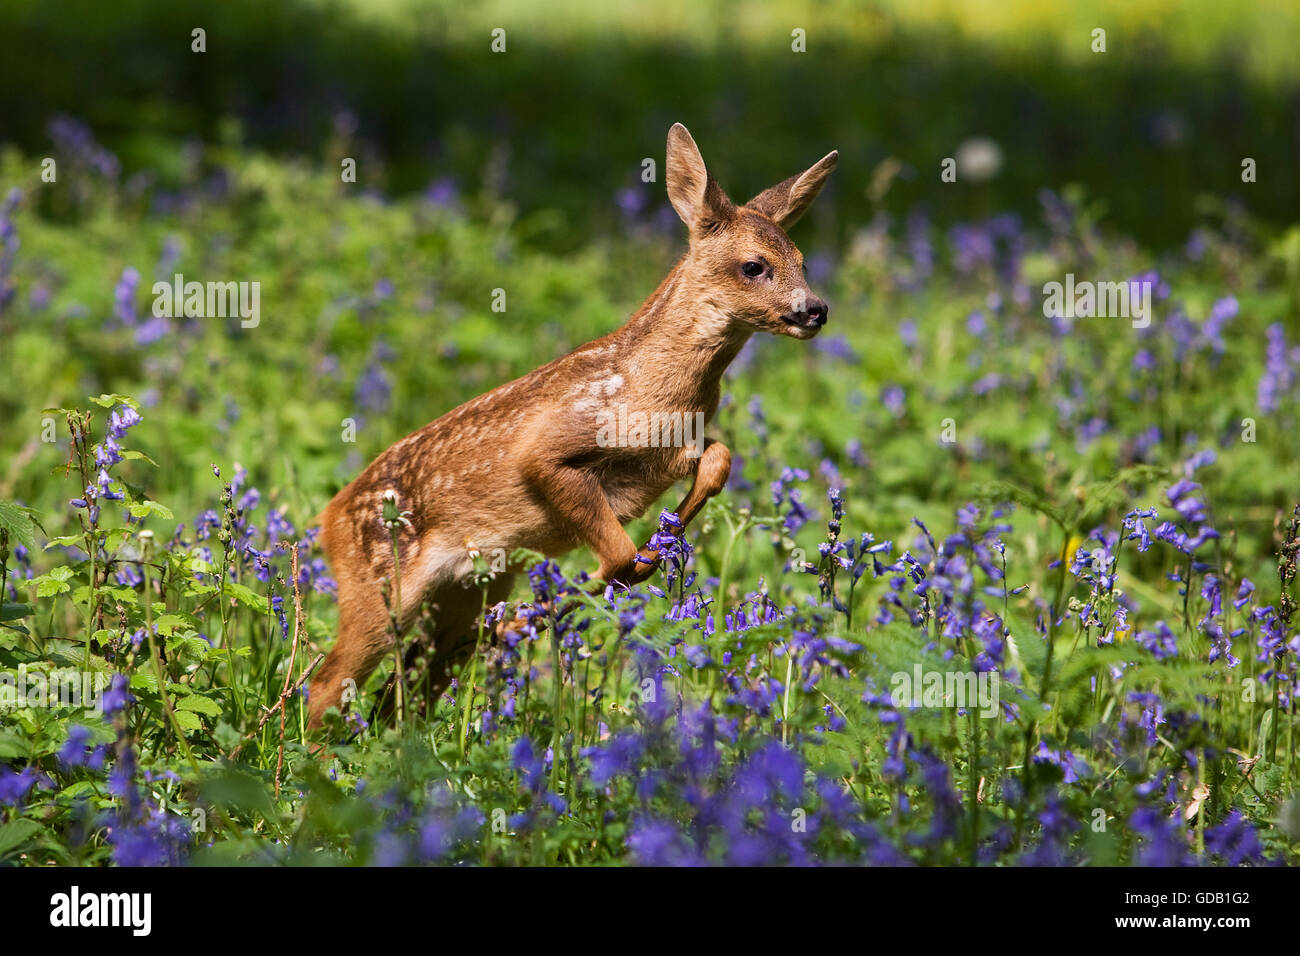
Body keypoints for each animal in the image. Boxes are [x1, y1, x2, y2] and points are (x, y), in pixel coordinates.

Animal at [305, 123, 838, 731]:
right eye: (754, 265)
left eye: (802, 259)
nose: (816, 309)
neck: (655, 390)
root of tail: (327, 518)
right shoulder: (548, 447)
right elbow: (617, 554)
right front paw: (569, 600)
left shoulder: (680, 448)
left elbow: (719, 460)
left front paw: (662, 541)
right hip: (378, 585)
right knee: (328, 683)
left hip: (465, 588)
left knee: (411, 681)